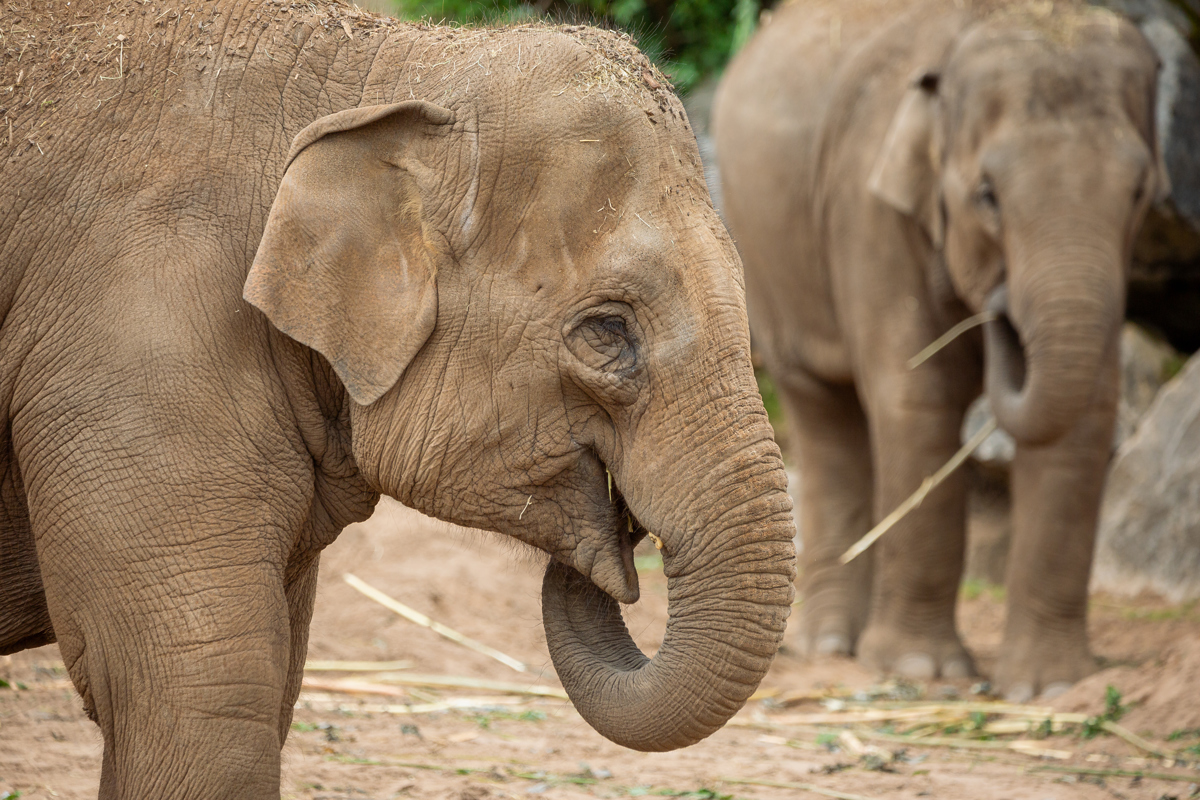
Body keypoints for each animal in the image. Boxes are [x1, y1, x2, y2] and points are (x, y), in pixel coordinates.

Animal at [713, 0, 1167, 701]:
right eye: (986, 195)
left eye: (1140, 191)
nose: (999, 306)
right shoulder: (867, 208)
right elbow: (918, 397)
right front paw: (921, 669)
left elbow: (1088, 411)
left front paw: (1049, 688)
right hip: (766, 258)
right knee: (822, 408)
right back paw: (831, 644)